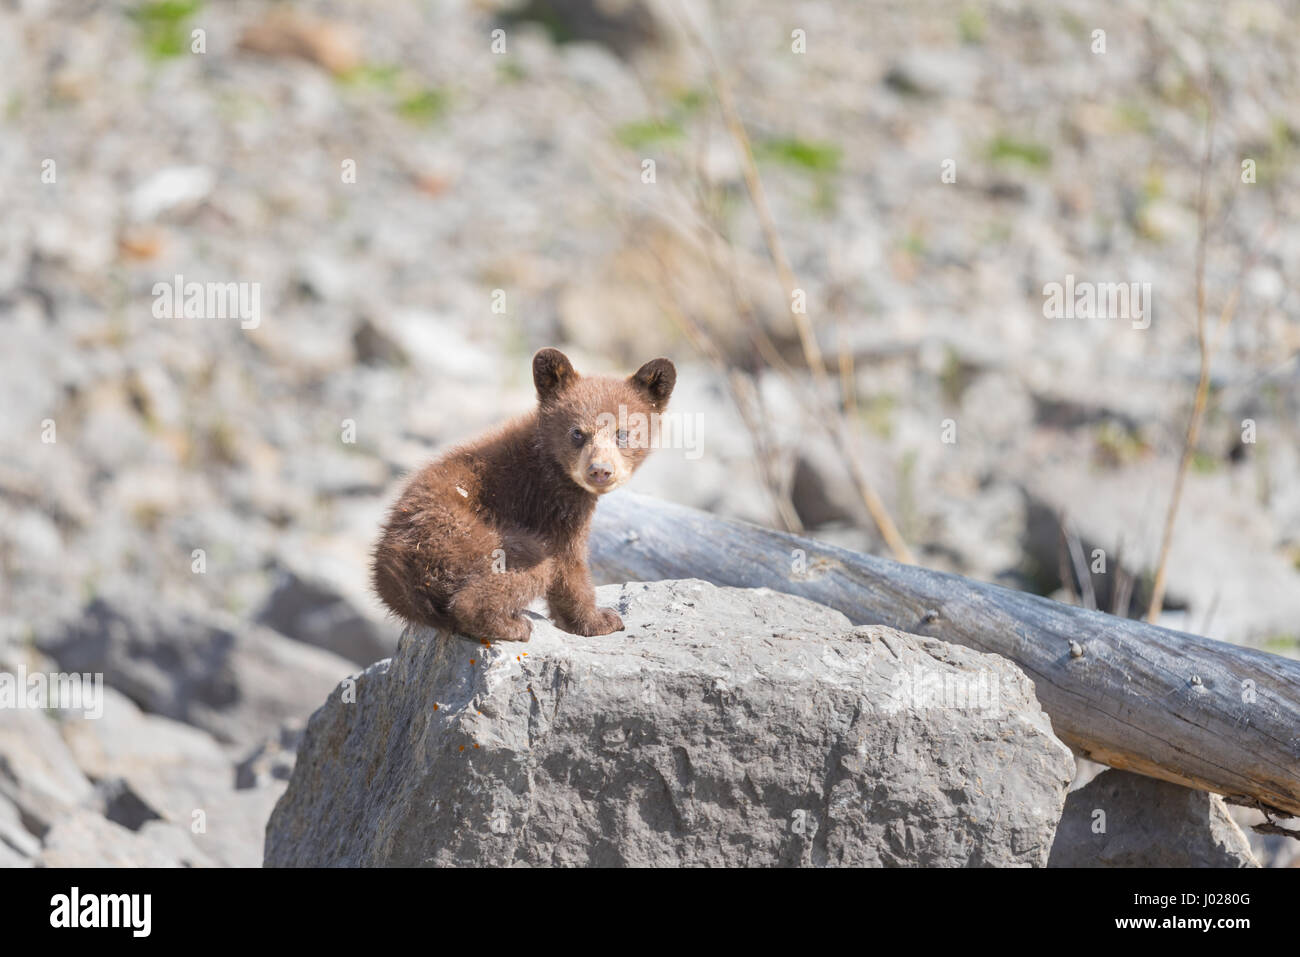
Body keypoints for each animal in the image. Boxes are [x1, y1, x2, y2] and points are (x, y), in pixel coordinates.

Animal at [371, 348, 676, 642]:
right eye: (577, 432)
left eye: (622, 433)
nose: (599, 470)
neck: (547, 460)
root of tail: (392, 571)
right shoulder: (552, 504)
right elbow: (568, 563)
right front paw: (601, 620)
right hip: (465, 538)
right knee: (522, 570)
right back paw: (511, 625)